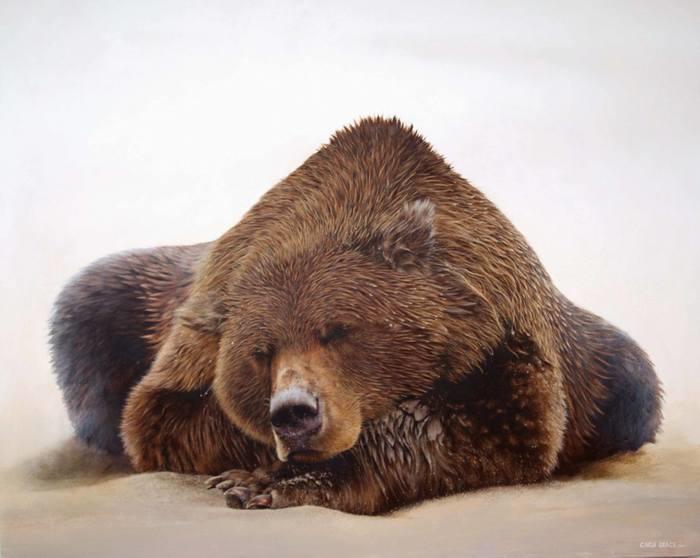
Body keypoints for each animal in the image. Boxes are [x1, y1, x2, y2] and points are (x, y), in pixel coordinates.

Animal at [50, 117, 662, 514]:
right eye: (260, 352)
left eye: (339, 331)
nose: (296, 414)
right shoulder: (197, 328)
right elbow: (160, 417)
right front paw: (260, 469)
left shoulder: (505, 336)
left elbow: (489, 425)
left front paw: (271, 482)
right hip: (126, 294)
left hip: (606, 366)